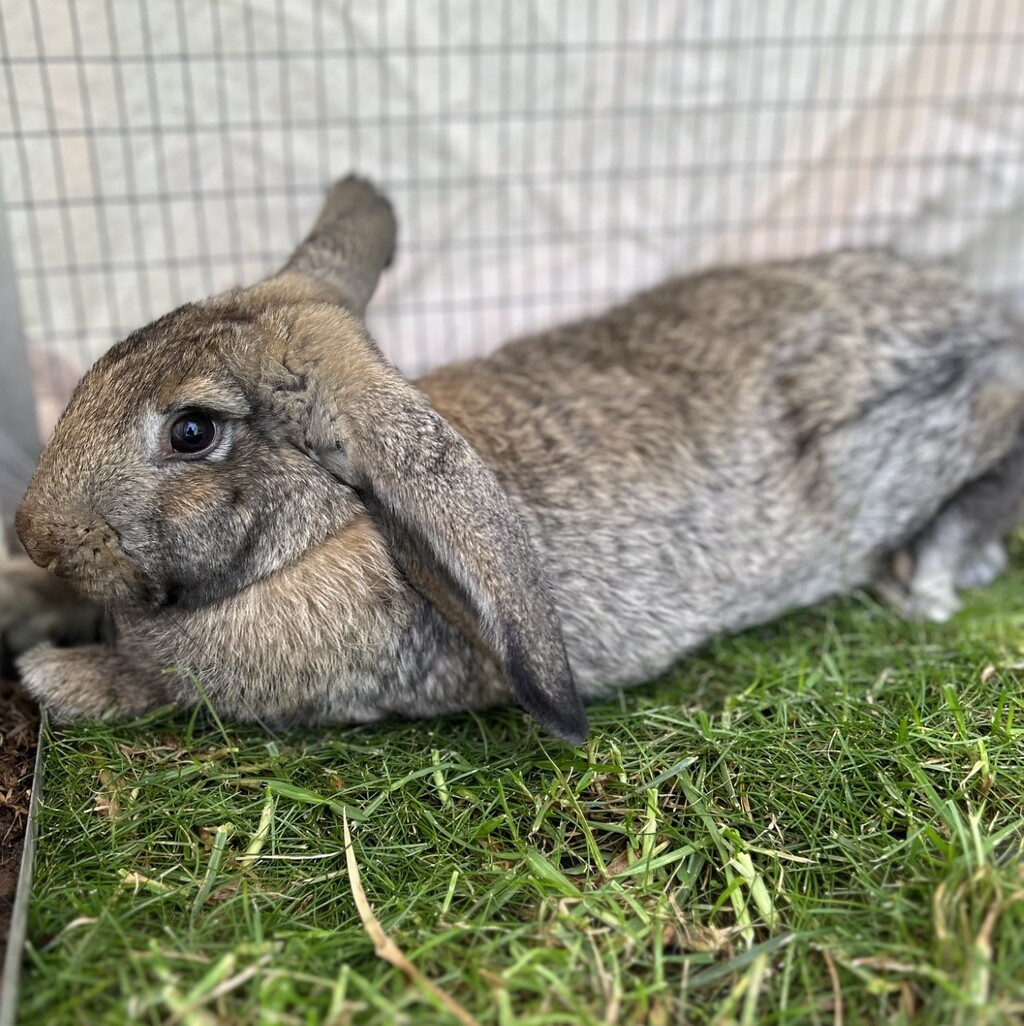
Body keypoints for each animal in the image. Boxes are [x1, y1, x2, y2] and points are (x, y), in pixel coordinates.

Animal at [4, 174, 1024, 744]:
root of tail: (977, 313)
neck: (330, 531)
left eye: (191, 432)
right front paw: (21, 598)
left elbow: (157, 688)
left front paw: (55, 679)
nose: (36, 532)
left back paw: (931, 570)